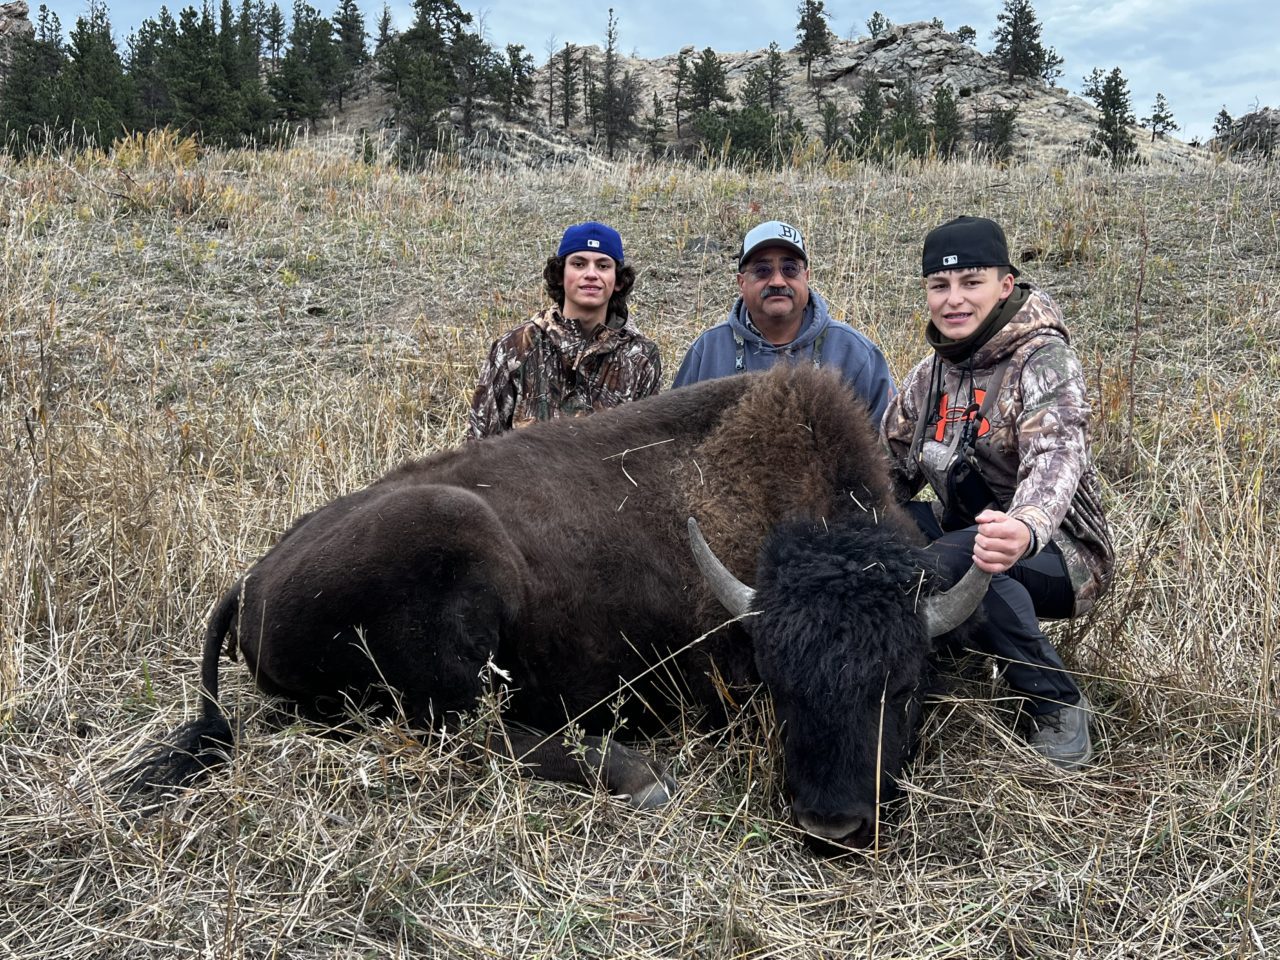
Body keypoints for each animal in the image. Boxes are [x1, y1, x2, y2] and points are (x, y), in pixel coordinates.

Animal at [120, 365, 986, 848]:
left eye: (905, 684)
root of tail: (251, 580)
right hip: (459, 563)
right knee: (468, 732)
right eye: (781, 685)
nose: (832, 825)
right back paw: (642, 777)